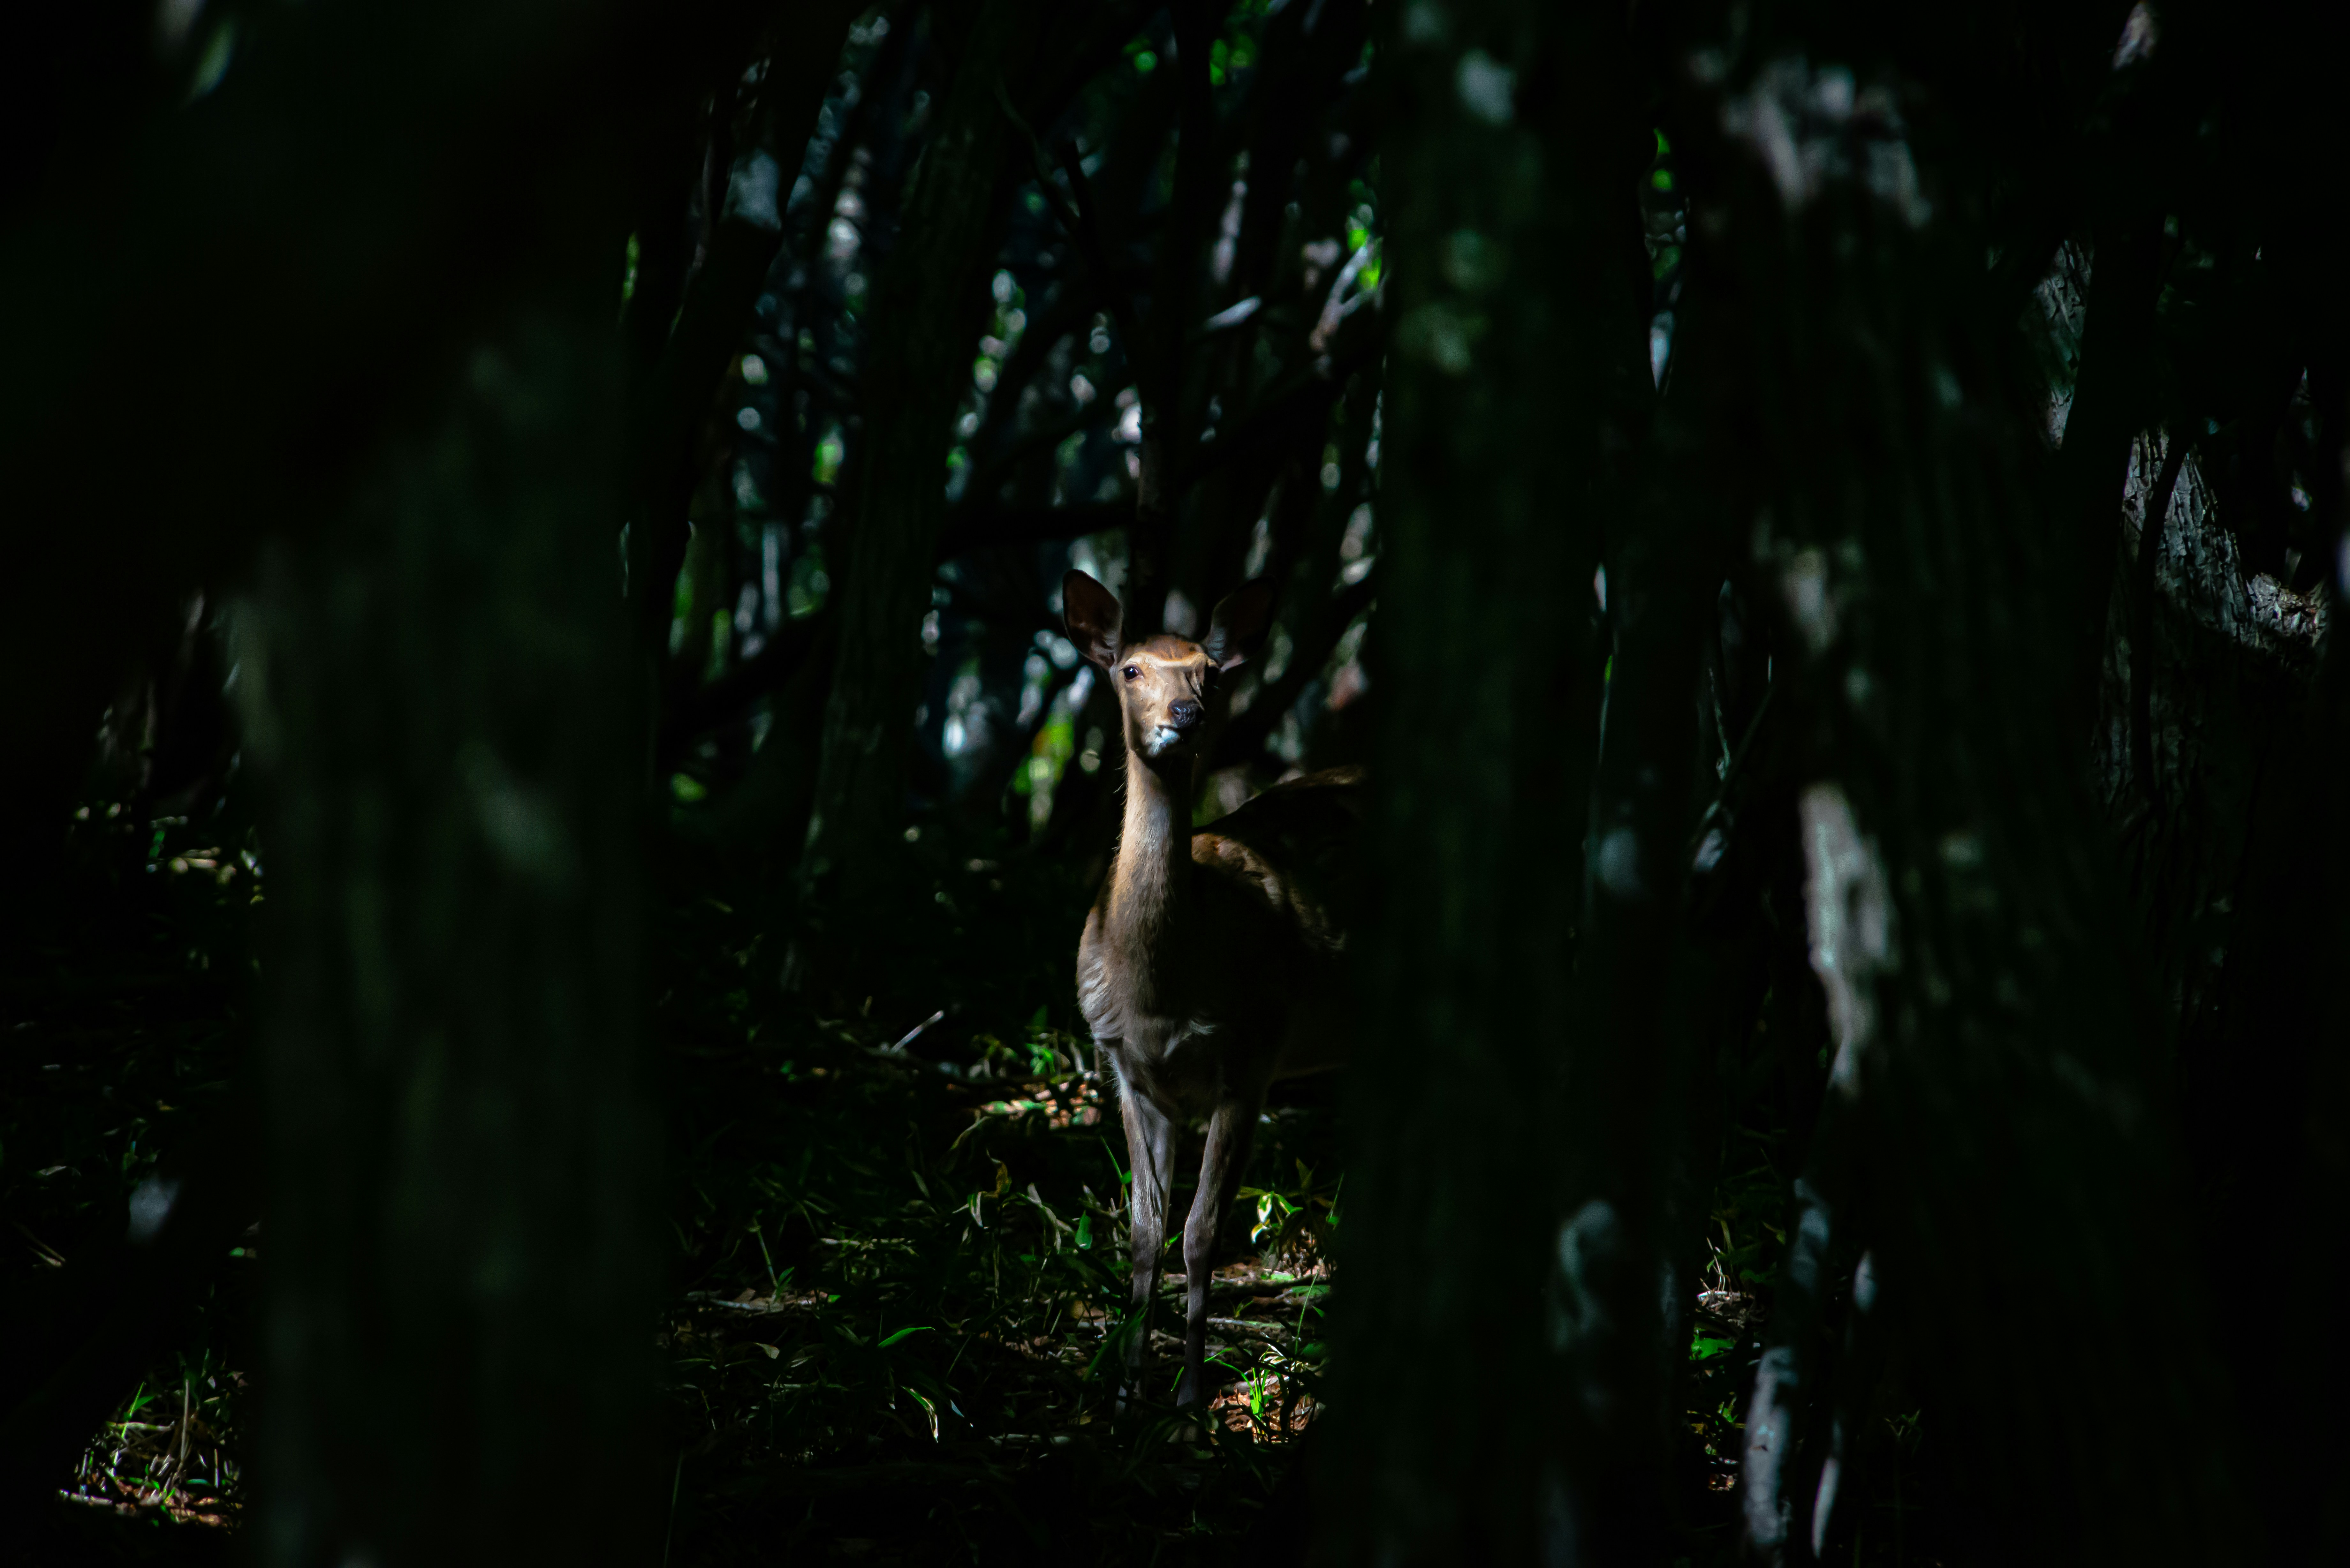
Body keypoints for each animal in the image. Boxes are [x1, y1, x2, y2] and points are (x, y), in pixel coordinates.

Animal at [1061, 568, 1365, 1413]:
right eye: (1131, 668)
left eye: (1209, 672)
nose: (1185, 715)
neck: (1159, 991)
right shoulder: (1124, 1066)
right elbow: (1144, 1228)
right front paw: (1126, 1388)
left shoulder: (1253, 1053)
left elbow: (1201, 1232)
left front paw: (1190, 1401)